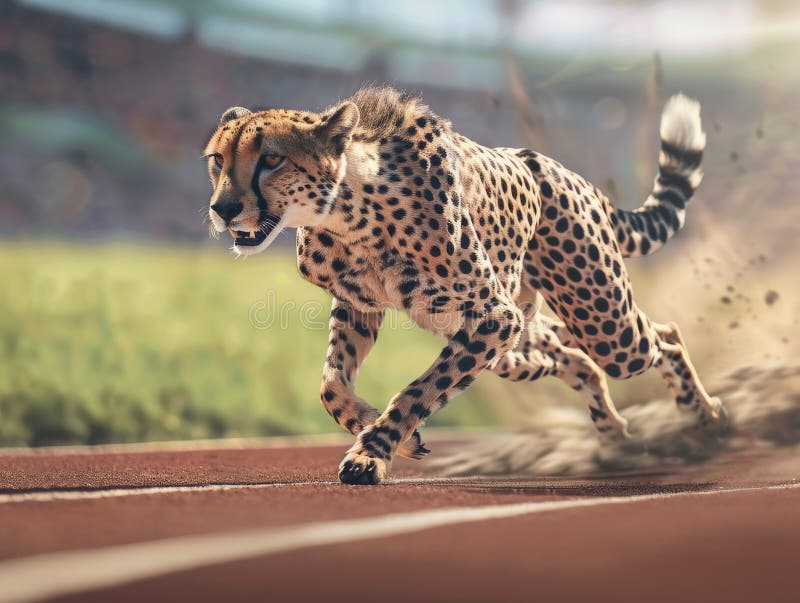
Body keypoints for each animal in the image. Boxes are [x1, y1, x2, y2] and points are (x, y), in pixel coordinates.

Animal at [203, 86, 726, 485]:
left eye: (272, 159)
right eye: (216, 160)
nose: (222, 210)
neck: (347, 211)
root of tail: (569, 174)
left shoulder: (493, 317)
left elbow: (417, 392)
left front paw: (372, 453)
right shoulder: (359, 307)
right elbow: (330, 386)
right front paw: (381, 432)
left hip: (600, 325)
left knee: (662, 338)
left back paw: (704, 416)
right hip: (515, 344)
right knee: (574, 357)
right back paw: (615, 435)